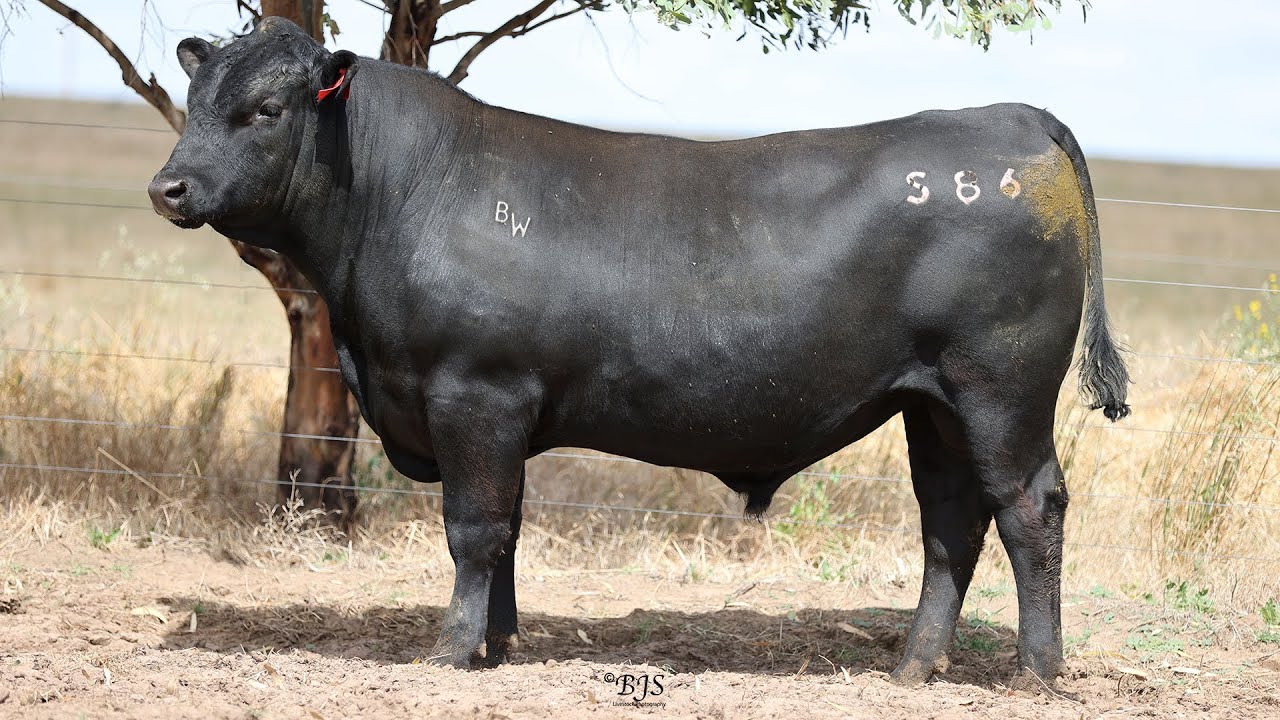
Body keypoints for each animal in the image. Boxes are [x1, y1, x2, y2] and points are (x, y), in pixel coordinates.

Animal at [149, 17, 1130, 685]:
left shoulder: (476, 392)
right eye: (192, 106)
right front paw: (501, 641)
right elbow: (509, 529)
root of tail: (1011, 117)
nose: (169, 187)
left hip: (1000, 389)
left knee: (1030, 509)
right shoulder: (503, 412)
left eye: (266, 109)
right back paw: (914, 665)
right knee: (951, 520)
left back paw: (1035, 670)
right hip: (934, 404)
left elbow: (474, 528)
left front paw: (452, 648)